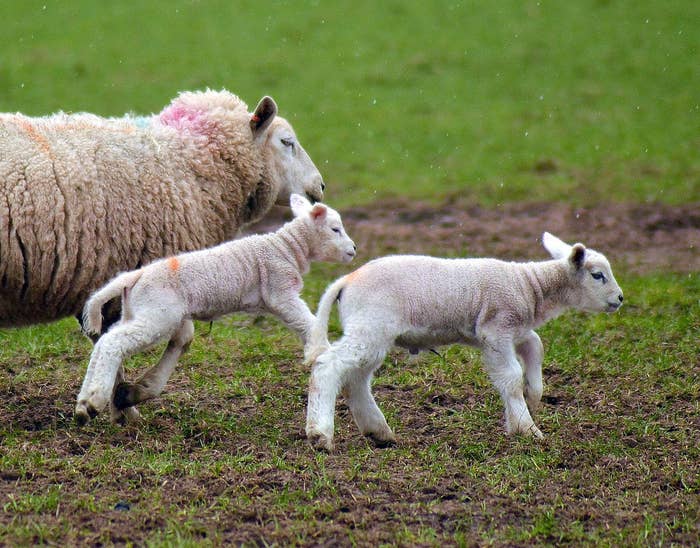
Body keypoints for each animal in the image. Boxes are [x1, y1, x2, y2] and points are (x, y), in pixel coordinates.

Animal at [74, 194, 356, 426]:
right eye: (335, 229)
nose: (353, 250)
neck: (286, 247)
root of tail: (133, 276)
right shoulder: (280, 291)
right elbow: (308, 322)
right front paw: (320, 351)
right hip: (157, 314)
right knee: (114, 343)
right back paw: (94, 400)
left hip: (137, 311)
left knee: (105, 341)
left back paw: (86, 403)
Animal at [304, 232, 623, 451]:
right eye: (598, 275)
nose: (620, 299)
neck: (529, 286)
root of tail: (346, 281)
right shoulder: (496, 329)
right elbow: (510, 378)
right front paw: (527, 428)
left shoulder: (514, 330)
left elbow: (535, 347)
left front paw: (532, 395)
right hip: (370, 327)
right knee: (328, 365)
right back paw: (320, 434)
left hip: (371, 332)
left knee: (356, 379)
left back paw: (378, 432)